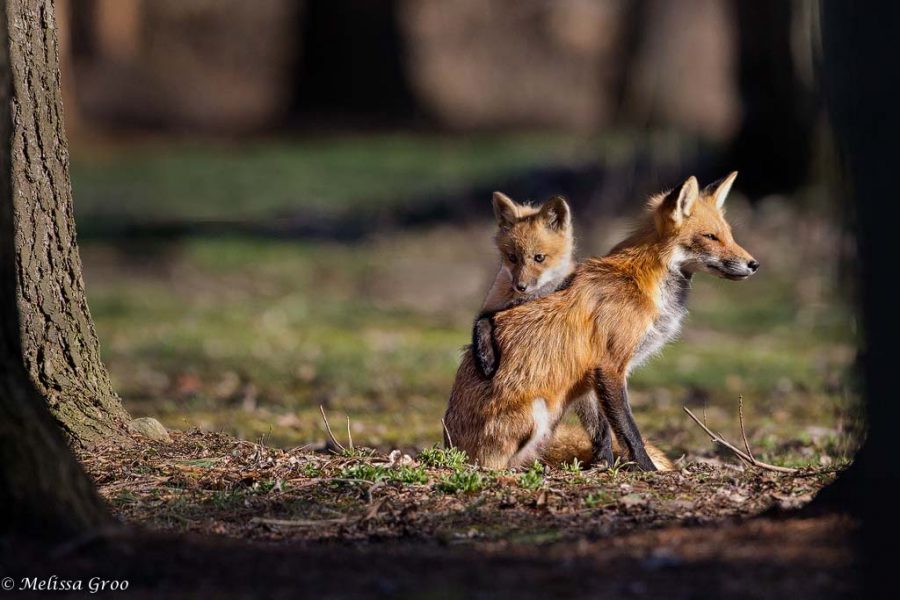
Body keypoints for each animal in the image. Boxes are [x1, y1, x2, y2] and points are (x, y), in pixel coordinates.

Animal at [444, 172, 757, 471]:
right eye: (710, 237)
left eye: (729, 236)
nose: (754, 264)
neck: (644, 282)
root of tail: (448, 445)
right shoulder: (609, 366)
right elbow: (629, 432)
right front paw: (646, 469)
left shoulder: (590, 377)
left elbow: (602, 431)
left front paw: (604, 466)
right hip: (536, 414)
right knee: (493, 463)